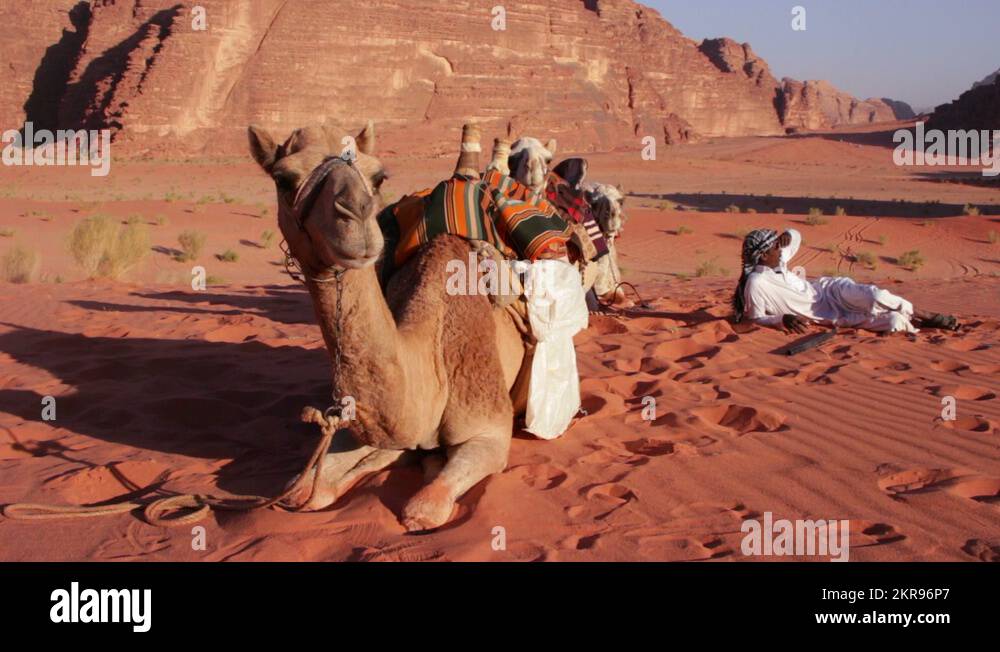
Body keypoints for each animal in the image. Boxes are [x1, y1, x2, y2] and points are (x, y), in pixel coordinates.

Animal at [247, 121, 529, 531]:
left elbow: (424, 507)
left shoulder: (488, 431)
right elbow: (303, 485)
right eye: (283, 179)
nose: (356, 216)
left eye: (379, 177)